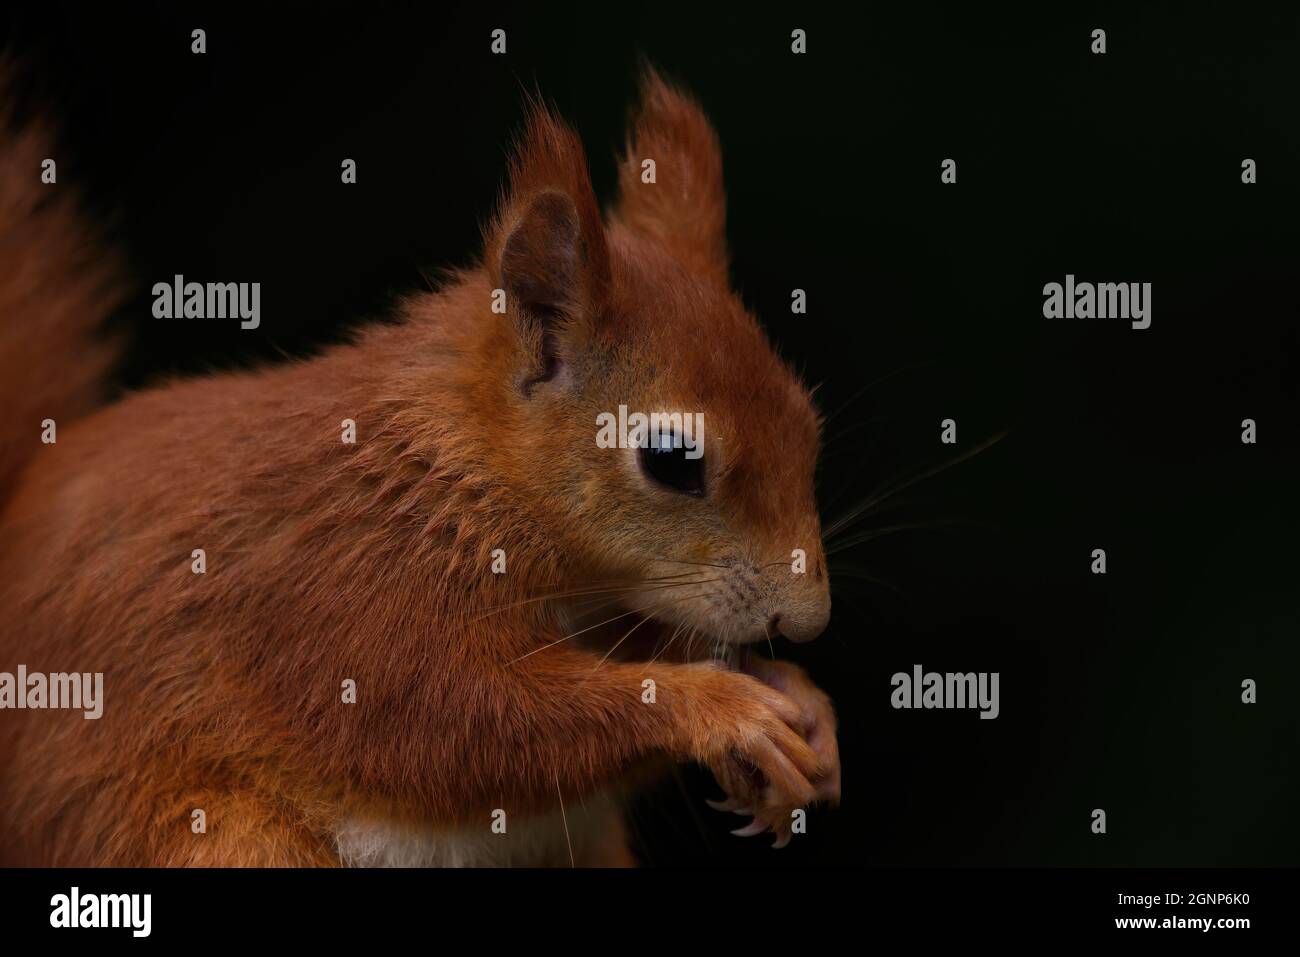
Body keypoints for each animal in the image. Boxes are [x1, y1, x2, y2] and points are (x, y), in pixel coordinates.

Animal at [0, 63, 840, 866]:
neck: (462, 471)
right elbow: (454, 721)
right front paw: (720, 709)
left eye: (807, 420)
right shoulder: (348, 585)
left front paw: (804, 707)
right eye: (673, 460)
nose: (804, 620)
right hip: (217, 838)